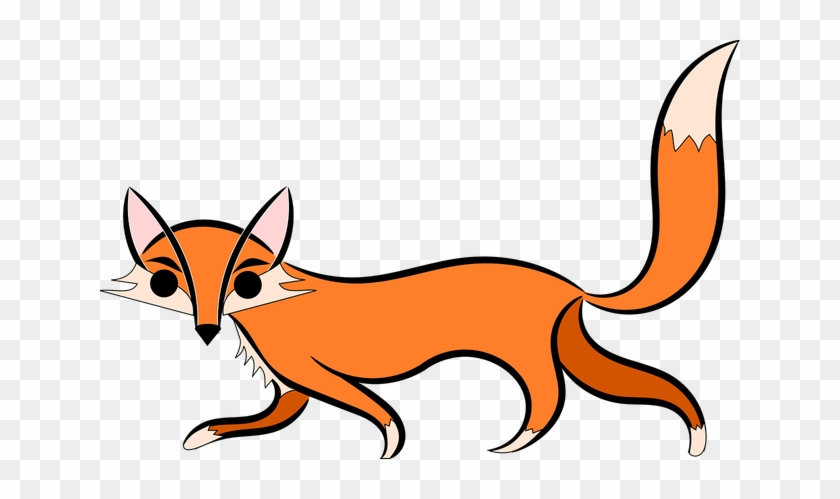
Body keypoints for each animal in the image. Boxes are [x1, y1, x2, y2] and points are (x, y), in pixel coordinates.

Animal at [104, 41, 738, 459]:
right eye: (166, 284)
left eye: (246, 282)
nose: (207, 330)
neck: (273, 307)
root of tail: (570, 288)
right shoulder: (290, 387)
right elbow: (265, 418)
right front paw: (206, 433)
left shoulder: (310, 370)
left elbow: (372, 409)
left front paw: (390, 440)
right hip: (571, 347)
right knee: (645, 385)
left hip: (529, 355)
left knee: (551, 397)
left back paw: (516, 443)